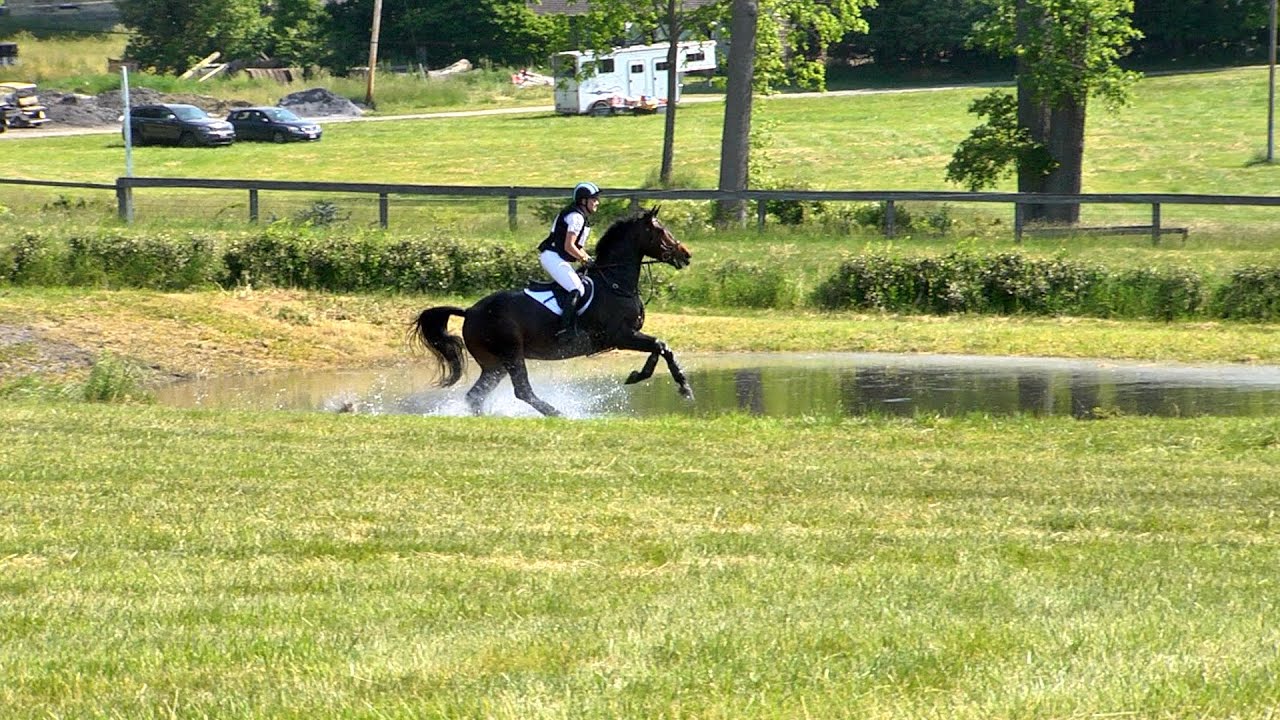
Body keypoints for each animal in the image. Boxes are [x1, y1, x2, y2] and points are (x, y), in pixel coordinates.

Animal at [409, 207, 693, 417]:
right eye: (660, 231)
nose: (686, 255)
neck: (614, 282)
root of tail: (470, 311)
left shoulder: (630, 335)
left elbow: (661, 348)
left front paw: (651, 379)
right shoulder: (621, 336)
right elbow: (661, 345)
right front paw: (679, 386)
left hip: (494, 364)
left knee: (476, 395)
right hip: (512, 353)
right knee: (522, 390)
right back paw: (556, 413)